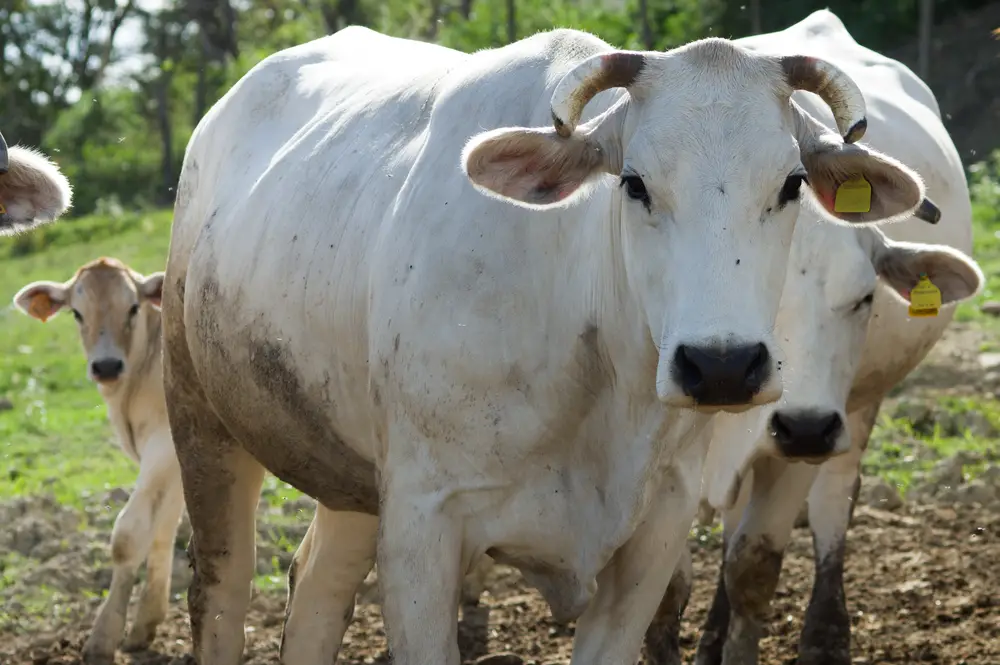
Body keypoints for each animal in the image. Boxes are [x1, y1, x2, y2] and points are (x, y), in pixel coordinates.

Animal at [13, 258, 183, 665]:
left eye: (133, 307)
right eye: (77, 313)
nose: (106, 366)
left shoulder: (164, 445)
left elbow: (129, 535)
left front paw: (104, 636)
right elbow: (163, 528)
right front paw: (144, 625)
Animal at [161, 23, 942, 665]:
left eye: (791, 183)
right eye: (635, 183)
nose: (721, 365)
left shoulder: (655, 533)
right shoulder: (422, 528)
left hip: (349, 478)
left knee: (318, 590)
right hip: (201, 417)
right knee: (221, 595)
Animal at [640, 11, 984, 665]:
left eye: (865, 298)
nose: (803, 425)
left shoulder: (807, 437)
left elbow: (753, 565)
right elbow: (666, 588)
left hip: (857, 407)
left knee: (832, 506)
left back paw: (825, 634)